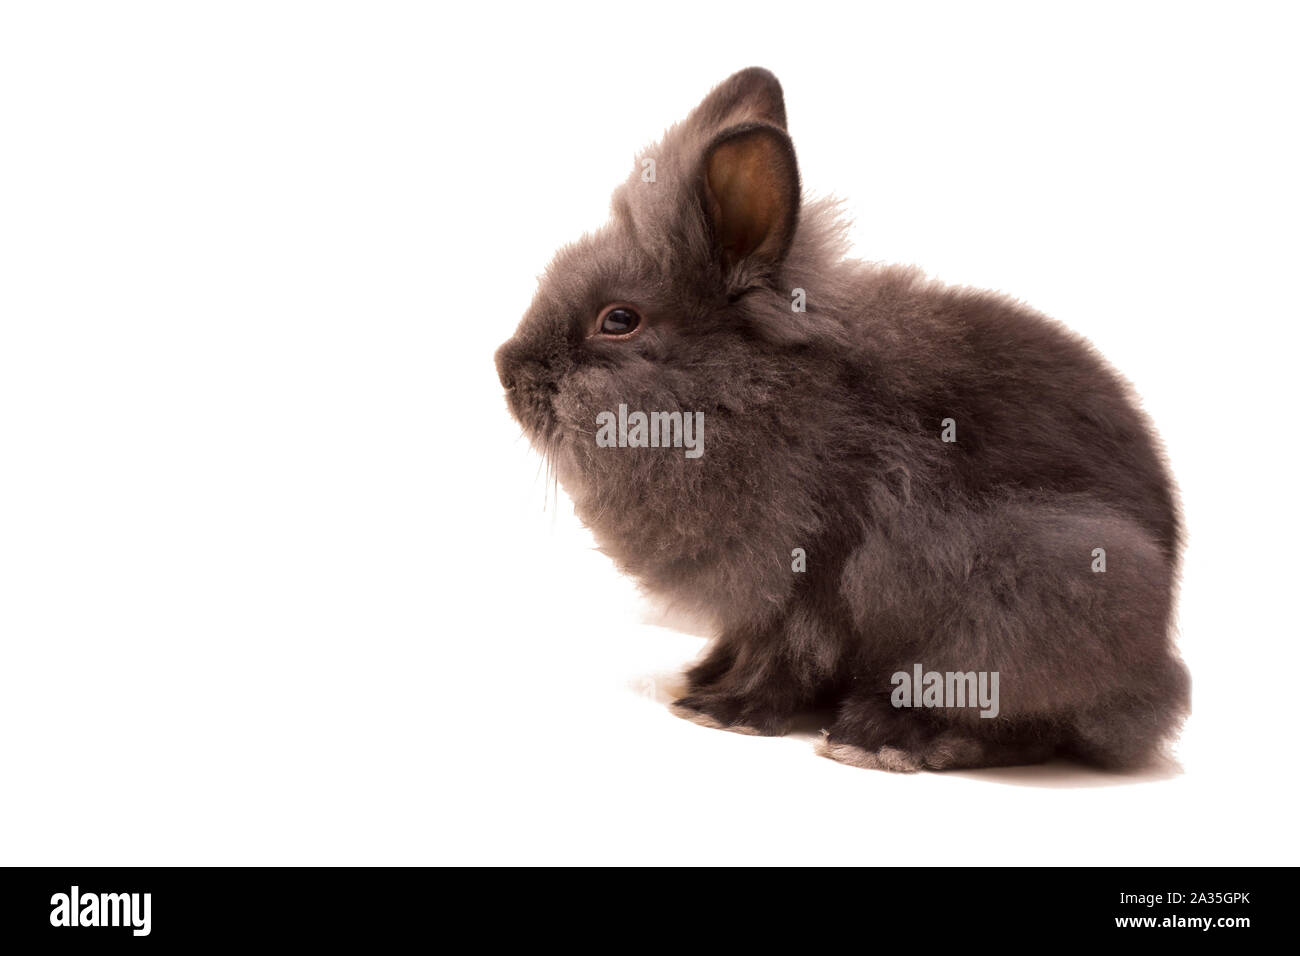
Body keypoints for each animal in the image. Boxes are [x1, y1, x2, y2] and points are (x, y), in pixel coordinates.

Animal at [494, 67, 1189, 772]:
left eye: (619, 320)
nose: (504, 367)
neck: (748, 393)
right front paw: (703, 678)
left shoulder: (819, 566)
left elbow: (792, 652)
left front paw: (725, 711)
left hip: (1062, 577)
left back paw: (888, 737)